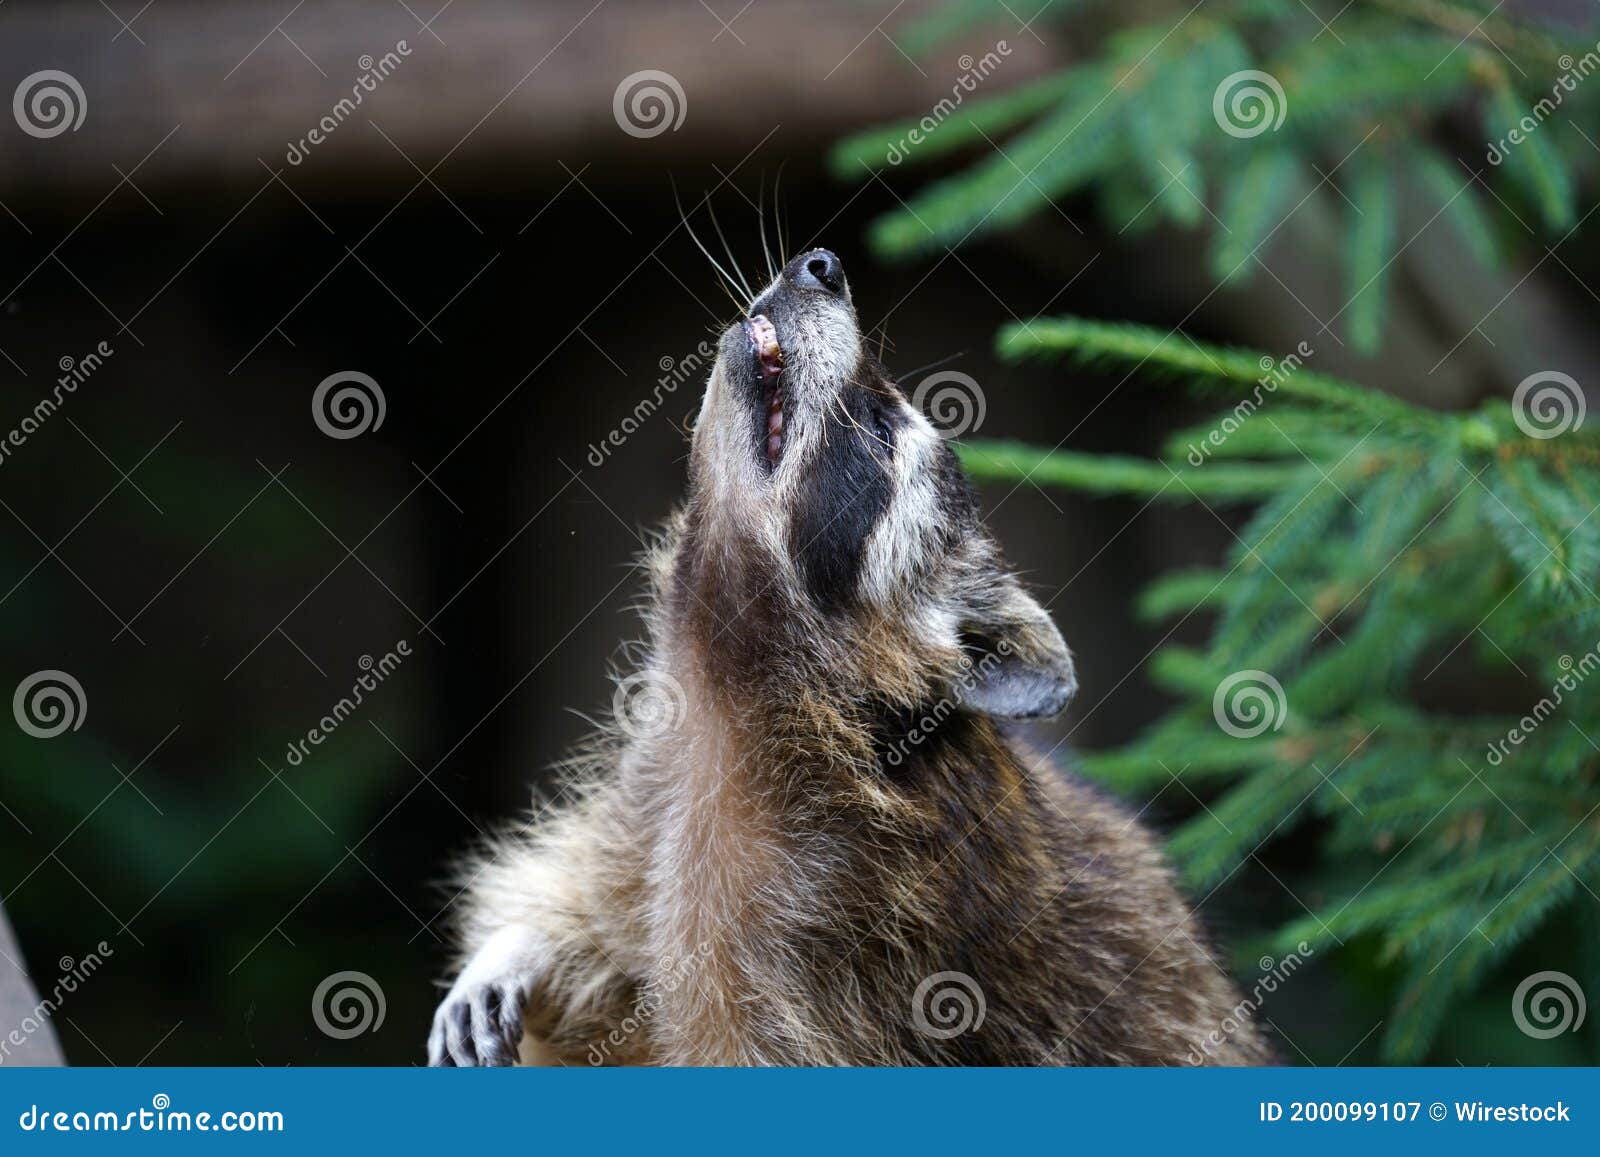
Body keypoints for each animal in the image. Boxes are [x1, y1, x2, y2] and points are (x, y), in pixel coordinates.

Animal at [428, 249, 1270, 1066]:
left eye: (880, 425)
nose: (821, 263)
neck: (727, 658)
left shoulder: (830, 927)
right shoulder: (653, 790)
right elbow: (603, 931)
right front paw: (526, 939)